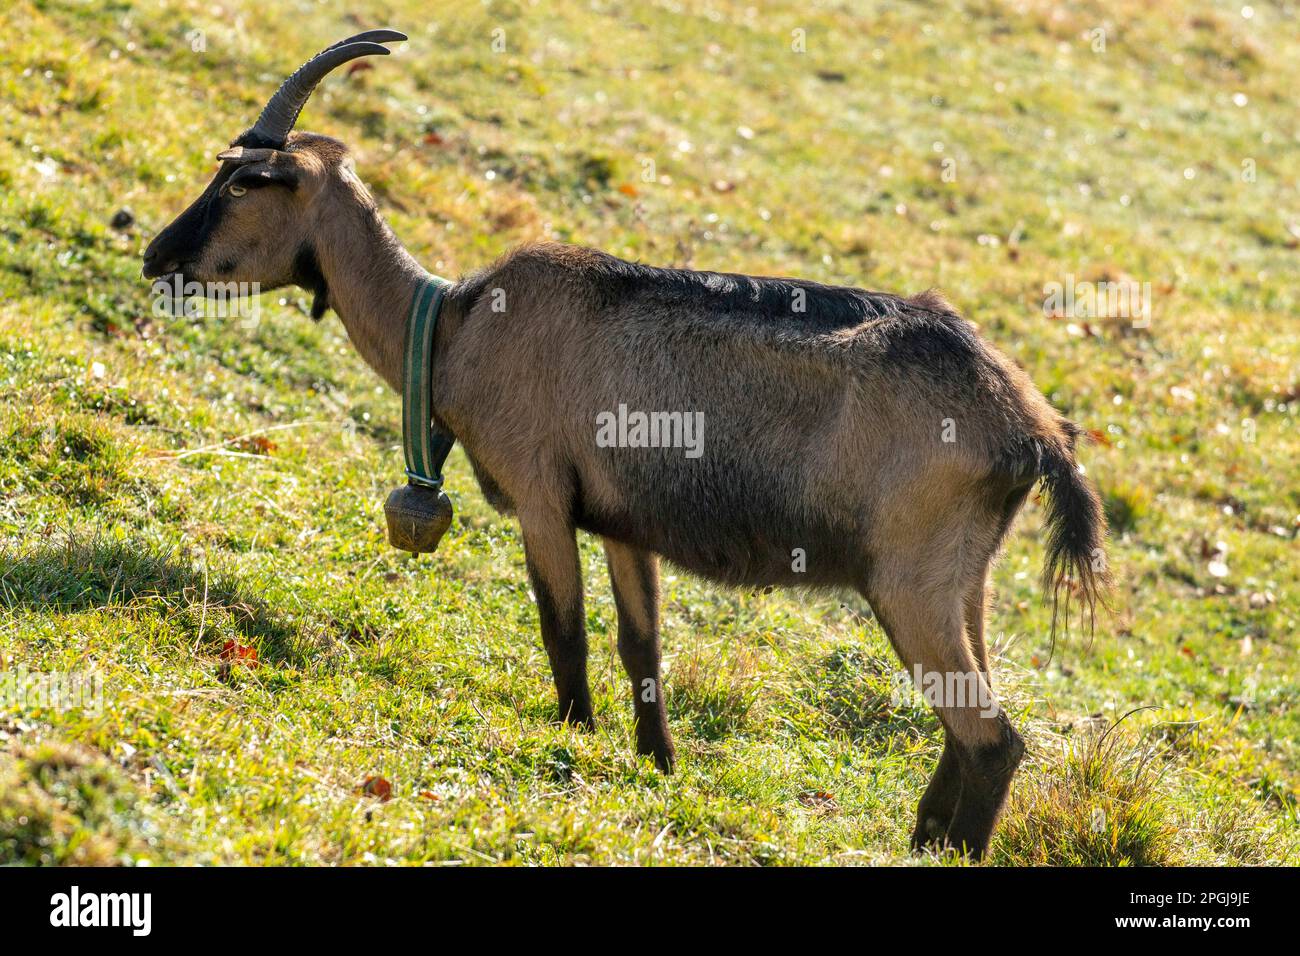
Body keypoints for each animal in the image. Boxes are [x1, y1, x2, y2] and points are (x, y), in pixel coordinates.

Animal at [142, 31, 1109, 858]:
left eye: (241, 184)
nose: (156, 254)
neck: (452, 325)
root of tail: (1035, 429)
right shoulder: (621, 522)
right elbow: (641, 648)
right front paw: (658, 765)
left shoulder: (540, 495)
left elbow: (562, 630)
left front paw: (573, 738)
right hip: (963, 579)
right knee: (969, 718)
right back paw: (922, 839)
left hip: (909, 578)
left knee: (993, 738)